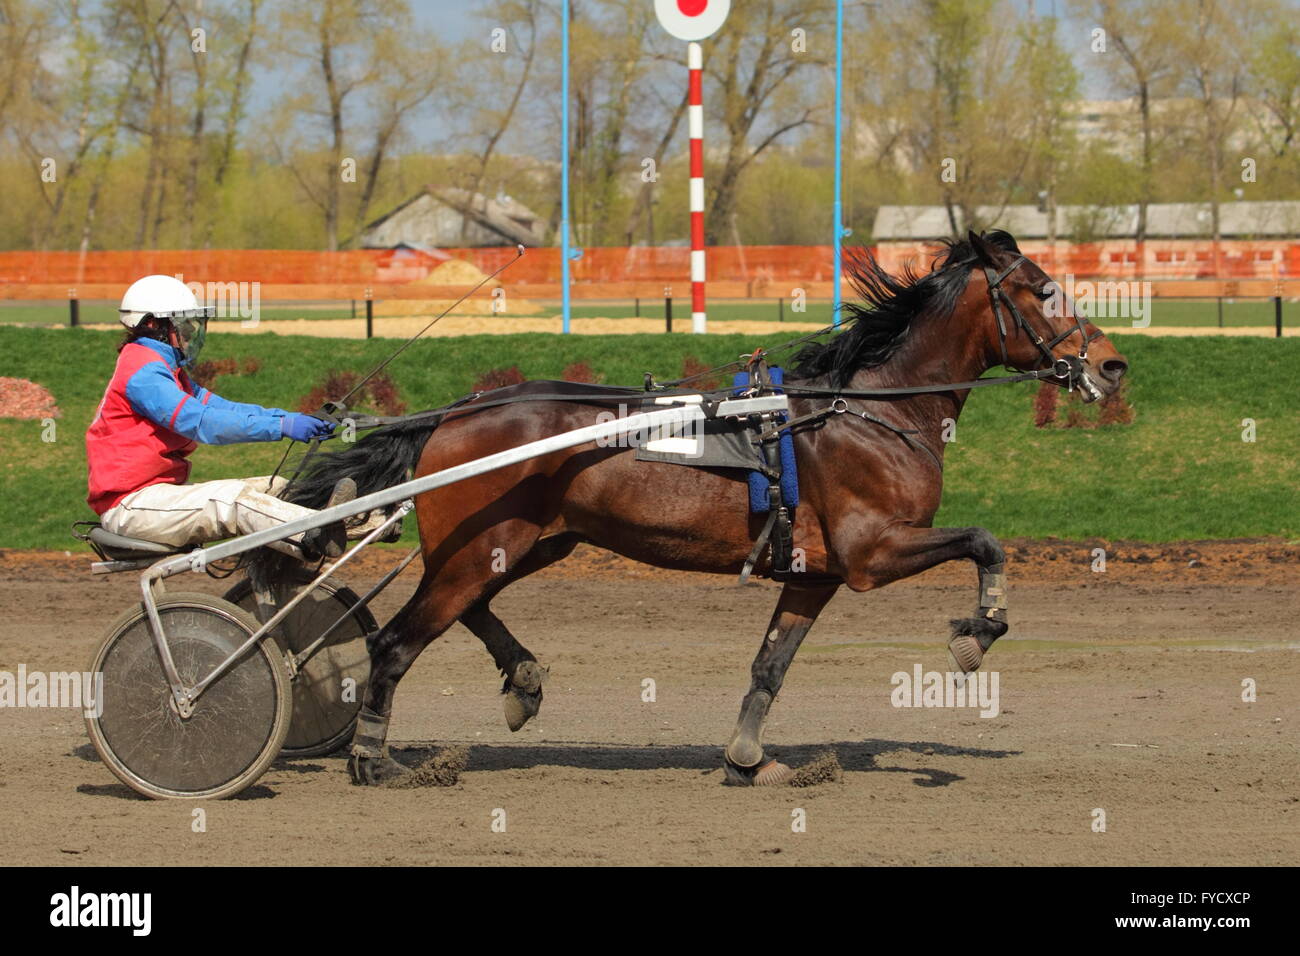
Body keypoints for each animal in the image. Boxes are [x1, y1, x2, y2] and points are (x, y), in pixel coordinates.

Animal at [289, 229, 1129, 786]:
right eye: (1043, 289)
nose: (1112, 362)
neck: (868, 410)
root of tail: (459, 410)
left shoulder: (816, 572)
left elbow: (770, 664)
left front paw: (748, 756)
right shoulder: (872, 551)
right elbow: (986, 542)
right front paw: (977, 633)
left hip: (523, 543)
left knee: (463, 612)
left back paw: (522, 680)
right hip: (481, 545)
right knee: (396, 641)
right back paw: (374, 759)